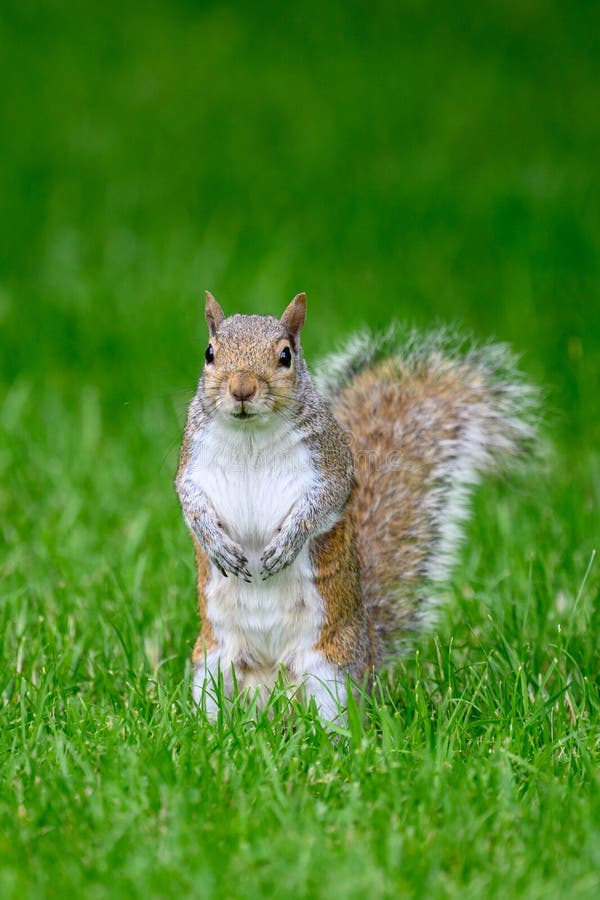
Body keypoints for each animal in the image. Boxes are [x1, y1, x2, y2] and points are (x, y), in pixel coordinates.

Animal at [176, 292, 537, 723]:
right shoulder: (192, 463)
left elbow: (323, 503)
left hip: (330, 673)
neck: (249, 435)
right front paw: (216, 543)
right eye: (210, 352)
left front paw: (286, 543)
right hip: (212, 666)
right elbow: (190, 502)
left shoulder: (331, 465)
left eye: (285, 355)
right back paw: (207, 730)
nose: (241, 388)